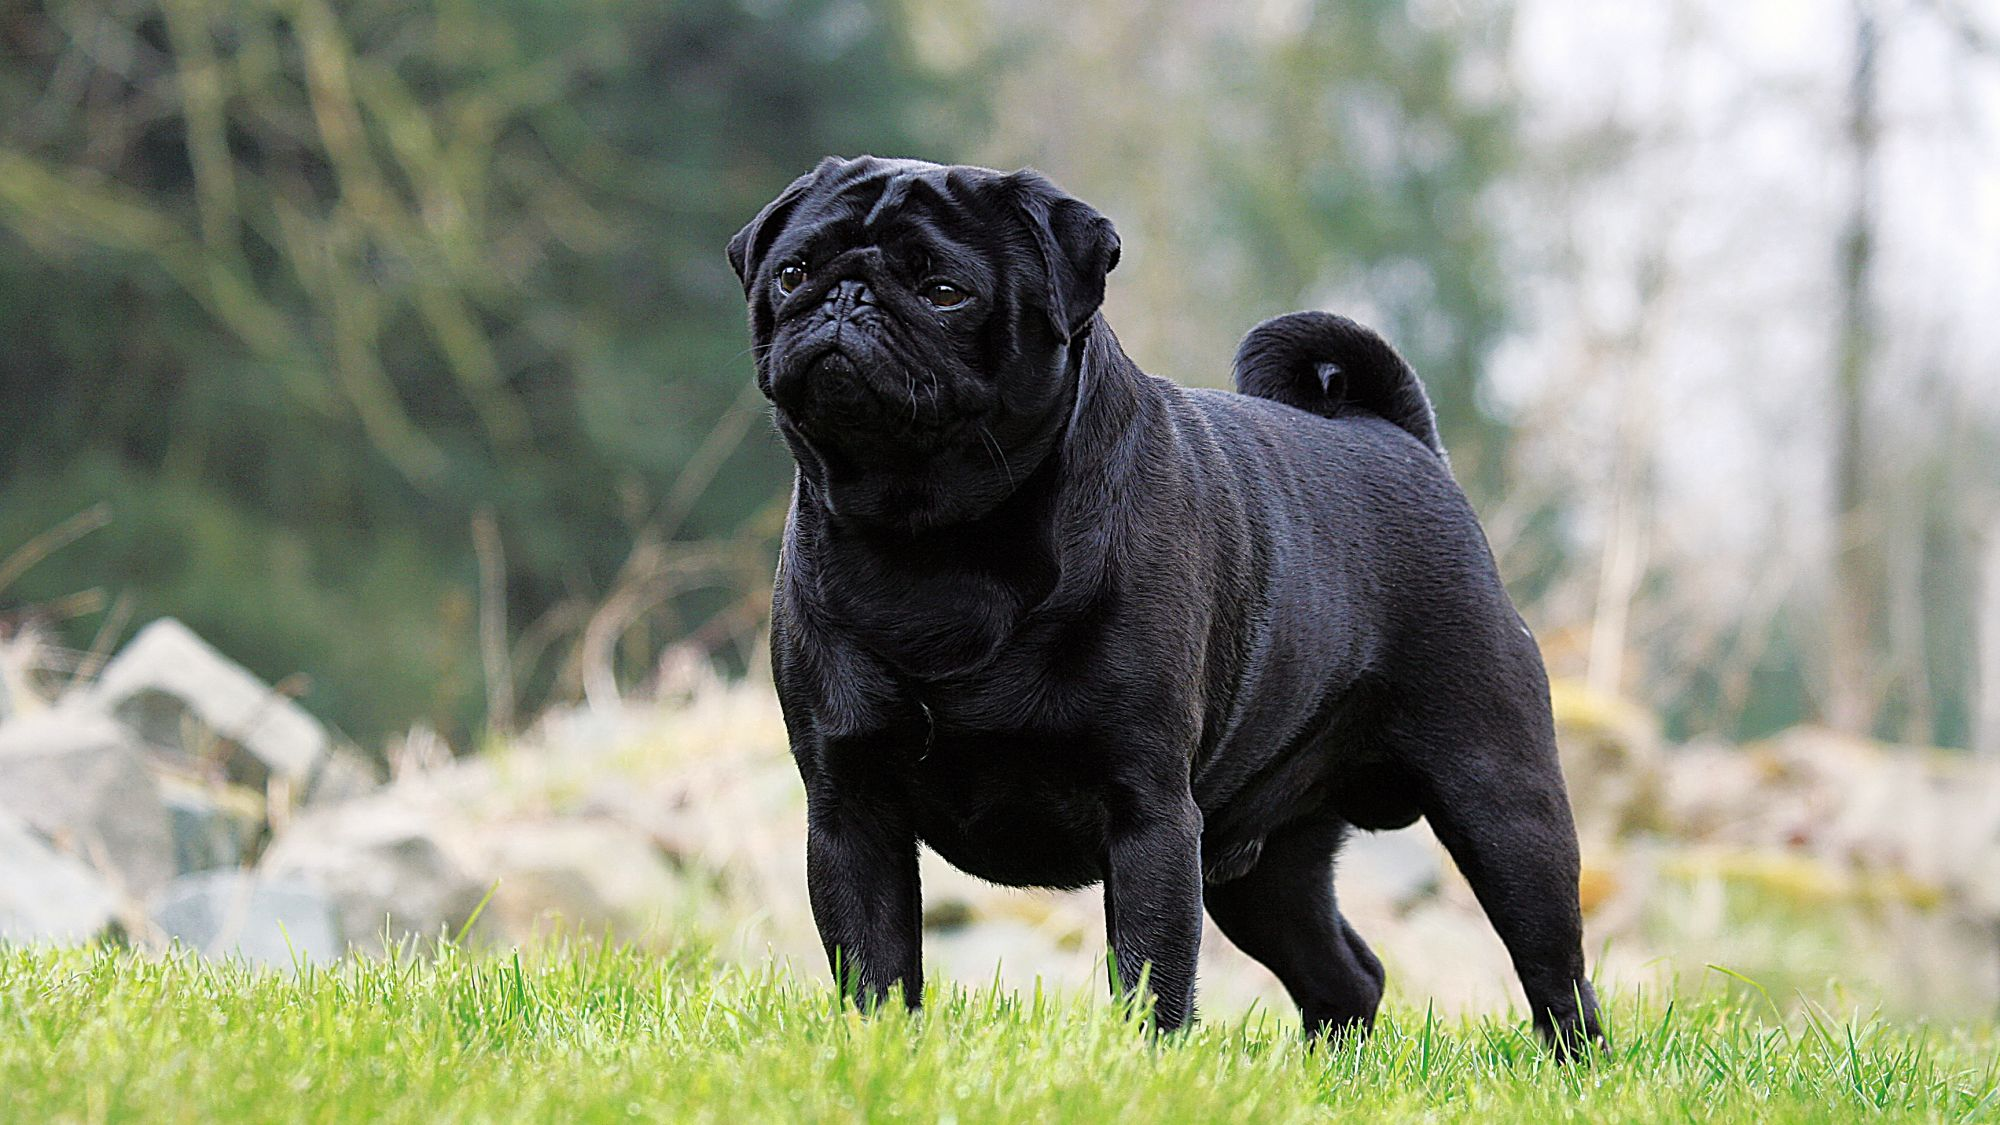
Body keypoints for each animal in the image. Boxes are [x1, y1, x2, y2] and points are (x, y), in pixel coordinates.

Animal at [728, 153, 1600, 1048]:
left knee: (1555, 970)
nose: (844, 294)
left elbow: (1151, 969)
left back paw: (1570, 1062)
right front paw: (879, 1051)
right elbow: (874, 966)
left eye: (944, 292)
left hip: (1501, 803)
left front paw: (1144, 1063)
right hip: (1263, 871)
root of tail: (1401, 439)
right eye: (791, 272)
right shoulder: (851, 809)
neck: (934, 538)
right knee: (1348, 973)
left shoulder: (1148, 814)